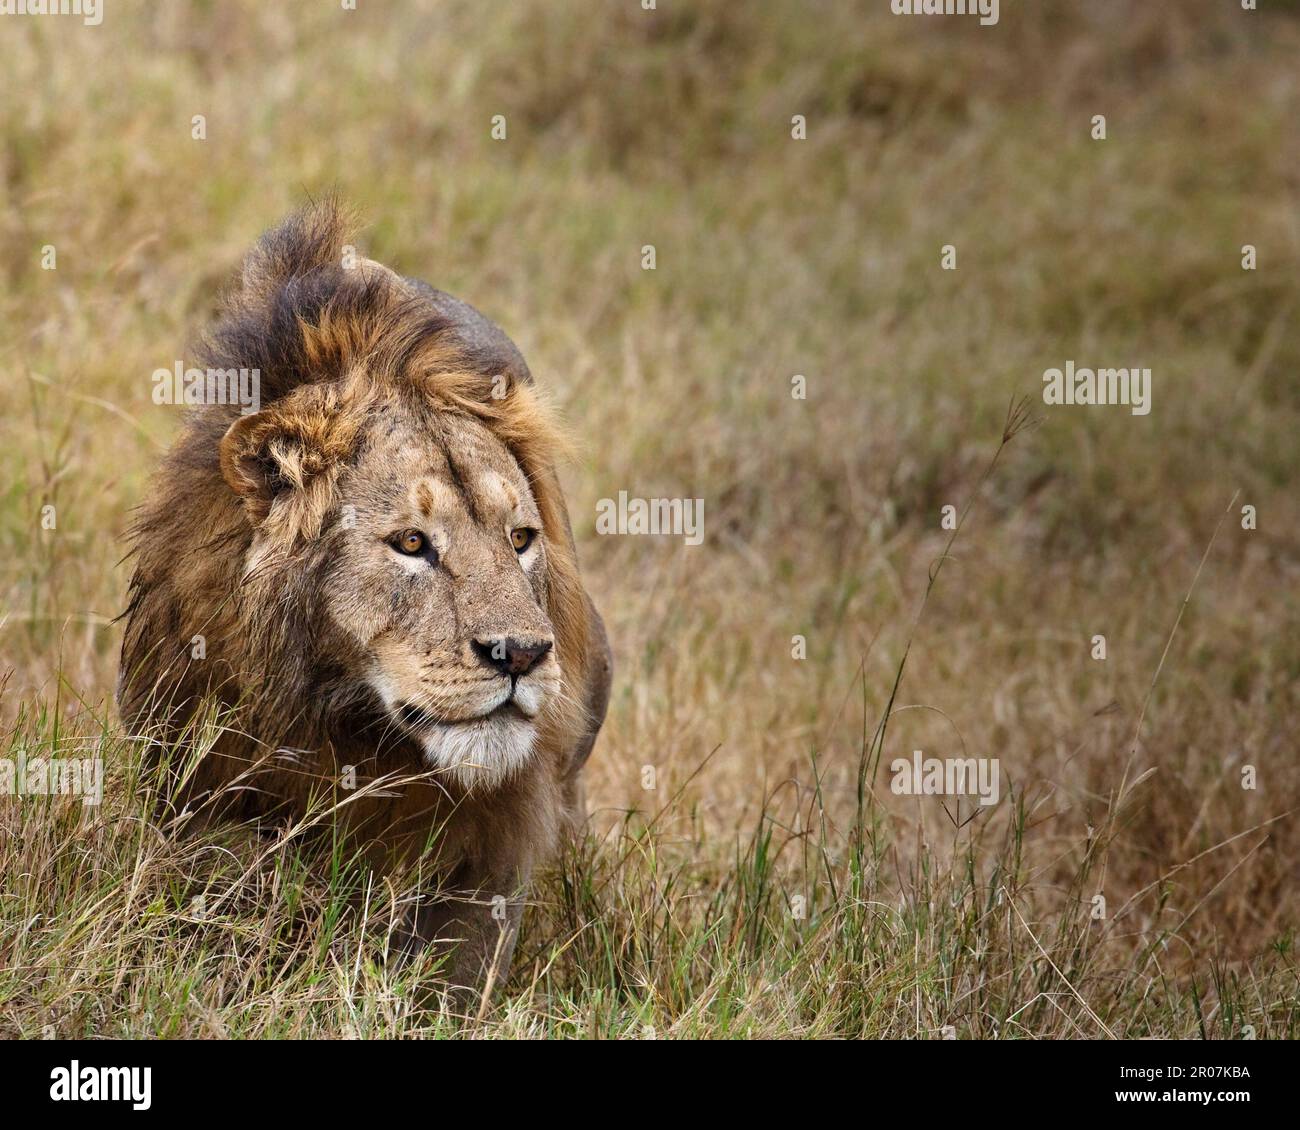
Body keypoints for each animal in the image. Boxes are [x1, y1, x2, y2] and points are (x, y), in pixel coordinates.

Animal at [118, 201, 612, 995]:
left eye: (521, 539)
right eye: (411, 543)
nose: (523, 654)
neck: (351, 726)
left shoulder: (495, 843)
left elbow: (458, 973)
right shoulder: (202, 794)